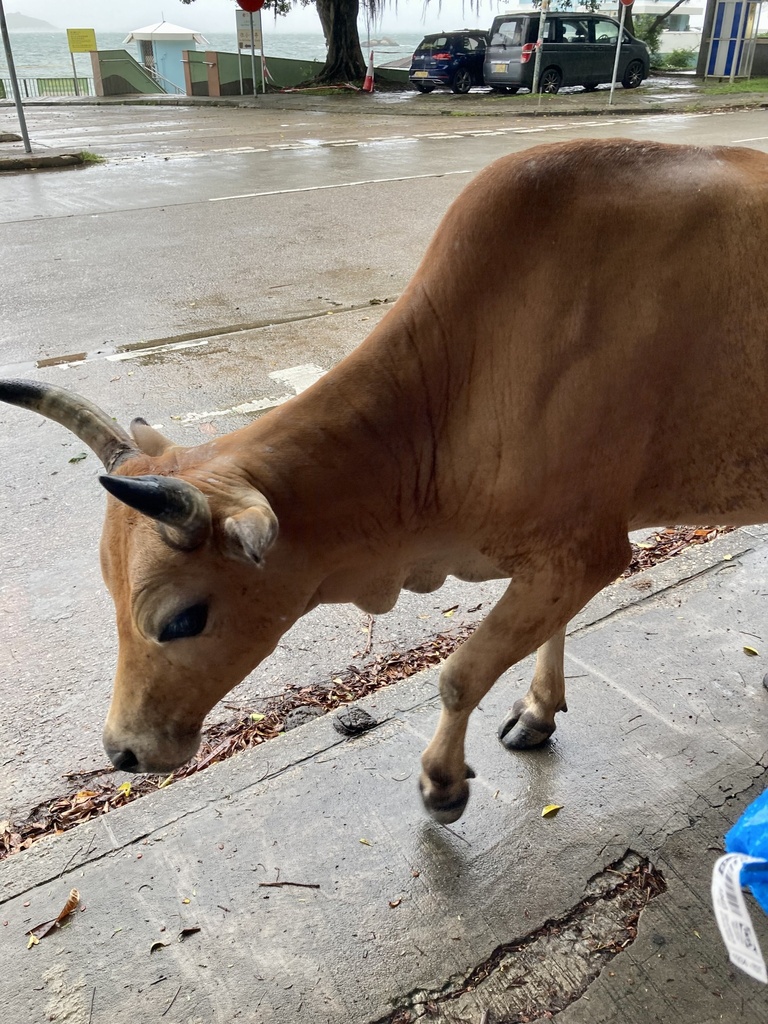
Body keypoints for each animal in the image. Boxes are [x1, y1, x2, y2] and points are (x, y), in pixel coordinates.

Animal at [2, 138, 767, 824]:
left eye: (182, 619)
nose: (122, 752)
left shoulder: (583, 551)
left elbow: (459, 674)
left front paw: (442, 783)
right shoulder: (568, 553)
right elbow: (547, 634)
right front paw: (538, 711)